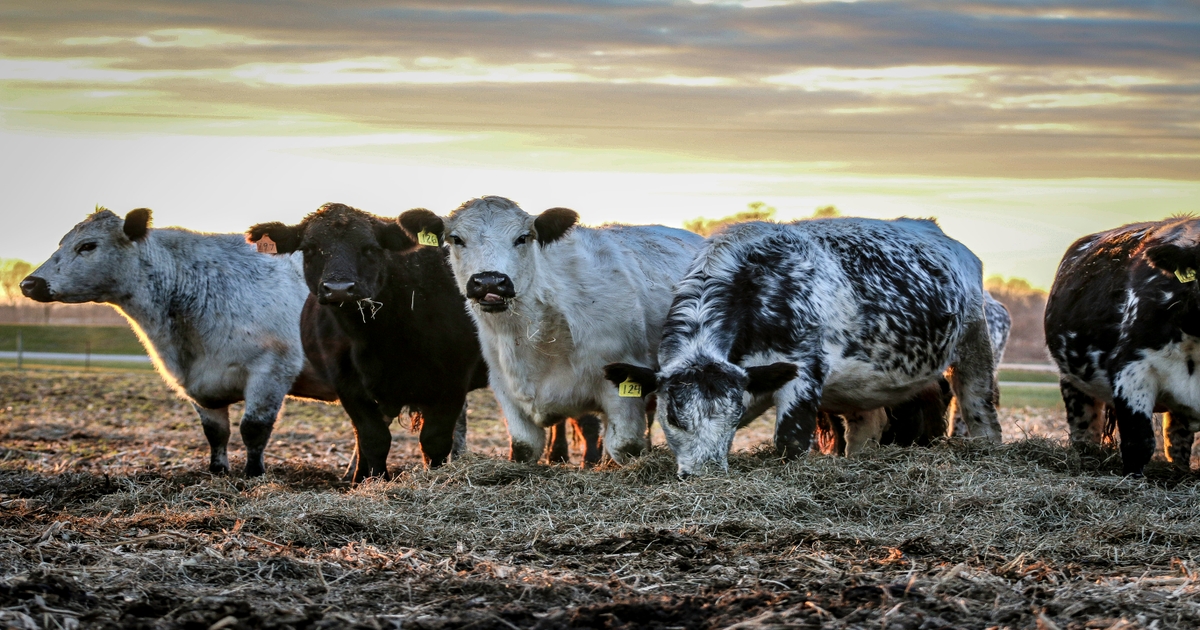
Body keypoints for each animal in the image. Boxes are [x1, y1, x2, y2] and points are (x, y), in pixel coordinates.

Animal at [20, 207, 338, 477]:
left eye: (87, 246)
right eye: (62, 243)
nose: (29, 283)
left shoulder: (272, 370)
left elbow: (253, 428)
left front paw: (253, 474)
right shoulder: (198, 385)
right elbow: (216, 433)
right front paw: (217, 471)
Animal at [398, 196, 705, 465]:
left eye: (522, 237)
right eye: (457, 238)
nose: (490, 282)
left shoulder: (622, 386)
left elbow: (625, 447)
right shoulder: (504, 387)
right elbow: (524, 448)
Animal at [604, 217, 1001, 477]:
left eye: (732, 417)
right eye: (672, 417)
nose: (705, 474)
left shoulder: (804, 373)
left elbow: (790, 442)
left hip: (975, 346)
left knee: (981, 409)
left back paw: (987, 447)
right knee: (867, 425)